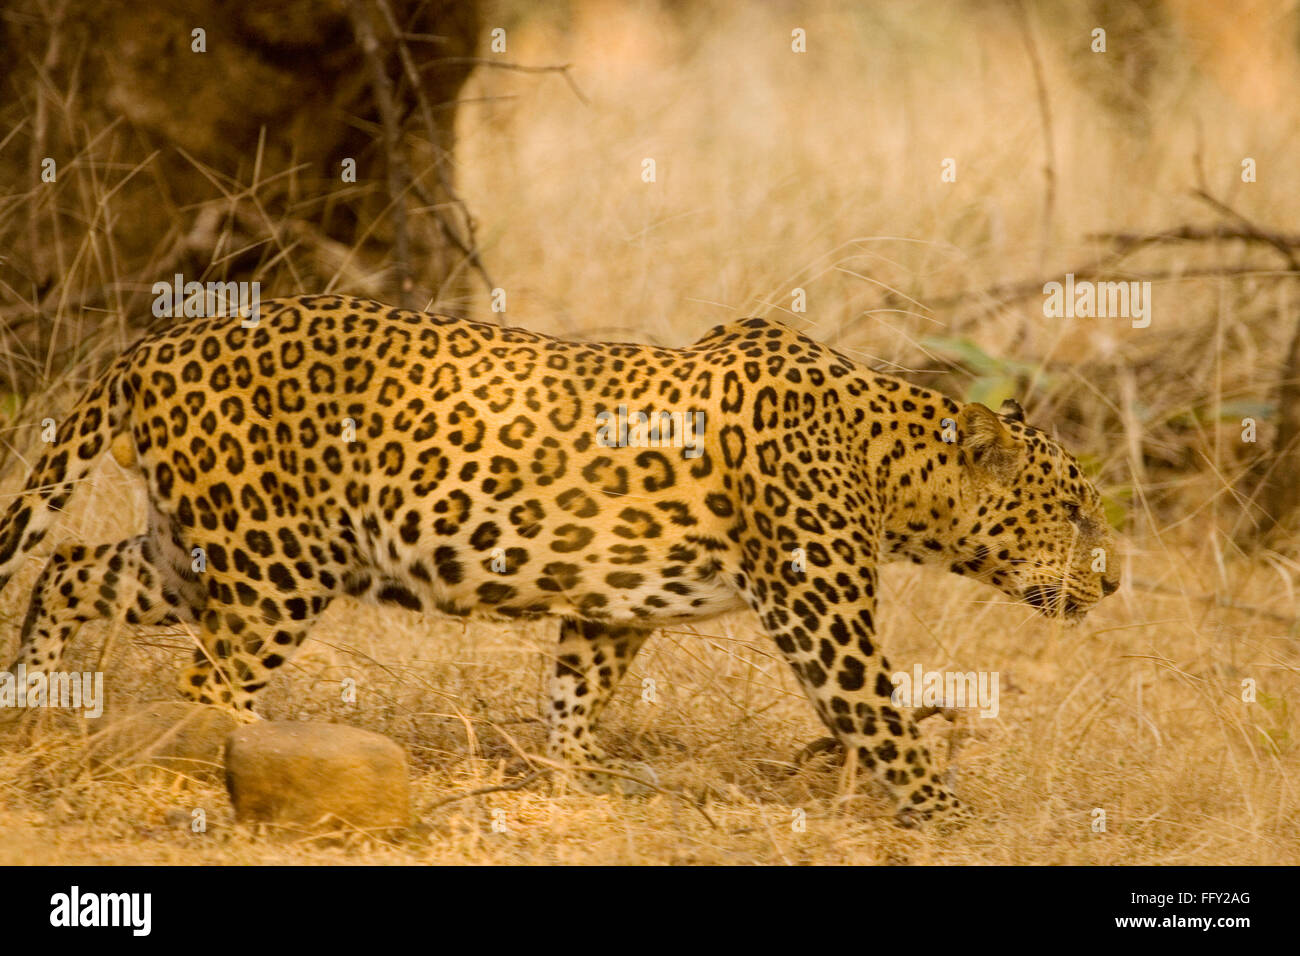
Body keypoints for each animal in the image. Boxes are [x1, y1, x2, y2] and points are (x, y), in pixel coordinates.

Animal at [0, 295, 1119, 824]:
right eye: (1069, 509)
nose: (1114, 582)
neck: (889, 460)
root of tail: (154, 344)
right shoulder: (822, 614)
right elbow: (882, 717)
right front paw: (951, 816)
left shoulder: (614, 603)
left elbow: (578, 688)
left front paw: (579, 777)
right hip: (274, 561)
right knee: (208, 682)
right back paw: (226, 770)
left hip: (189, 547)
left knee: (68, 569)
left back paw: (35, 697)